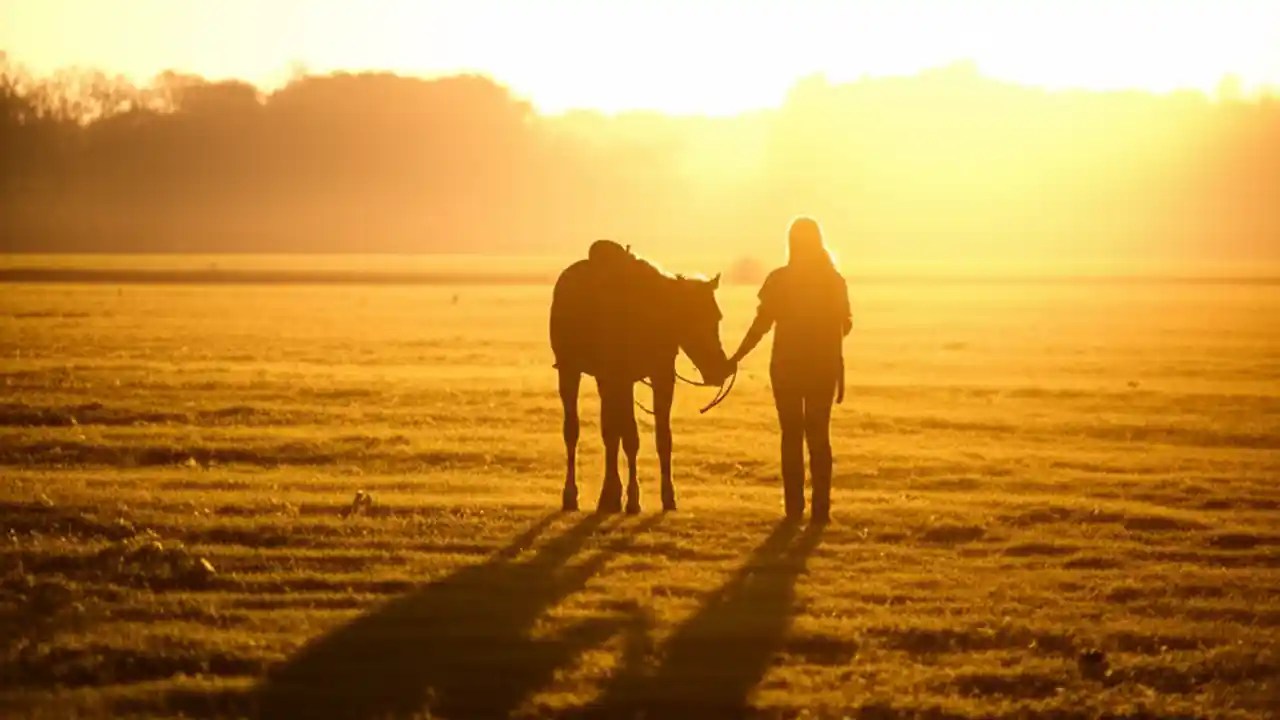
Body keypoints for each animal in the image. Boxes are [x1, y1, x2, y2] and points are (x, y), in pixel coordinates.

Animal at [550, 240, 731, 513]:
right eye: (691, 316)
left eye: (716, 317)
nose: (719, 369)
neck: (650, 316)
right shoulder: (621, 379)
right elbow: (630, 438)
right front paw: (633, 498)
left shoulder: (661, 377)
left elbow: (661, 438)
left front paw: (668, 496)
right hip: (570, 371)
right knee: (573, 431)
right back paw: (574, 495)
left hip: (605, 382)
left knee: (610, 432)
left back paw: (610, 495)